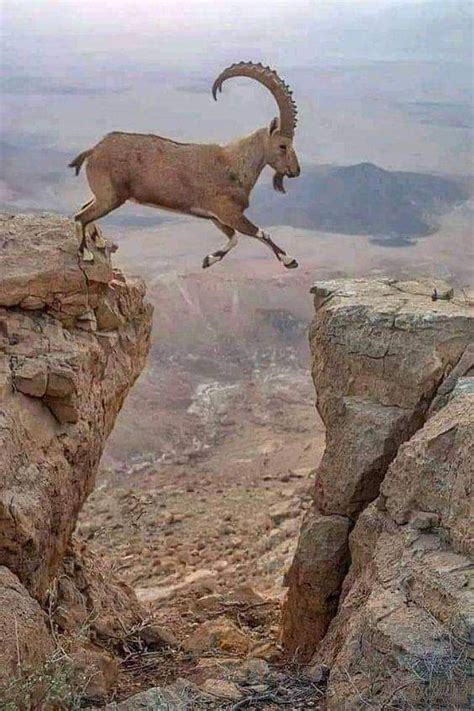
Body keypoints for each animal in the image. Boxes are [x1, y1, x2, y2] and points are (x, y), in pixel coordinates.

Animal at [69, 62, 301, 268]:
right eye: (283, 145)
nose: (296, 171)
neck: (235, 165)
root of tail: (94, 150)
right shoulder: (228, 212)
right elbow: (259, 233)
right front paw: (289, 260)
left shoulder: (215, 216)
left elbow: (233, 238)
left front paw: (208, 260)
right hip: (111, 197)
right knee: (80, 217)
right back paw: (86, 254)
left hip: (104, 195)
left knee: (84, 208)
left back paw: (99, 241)